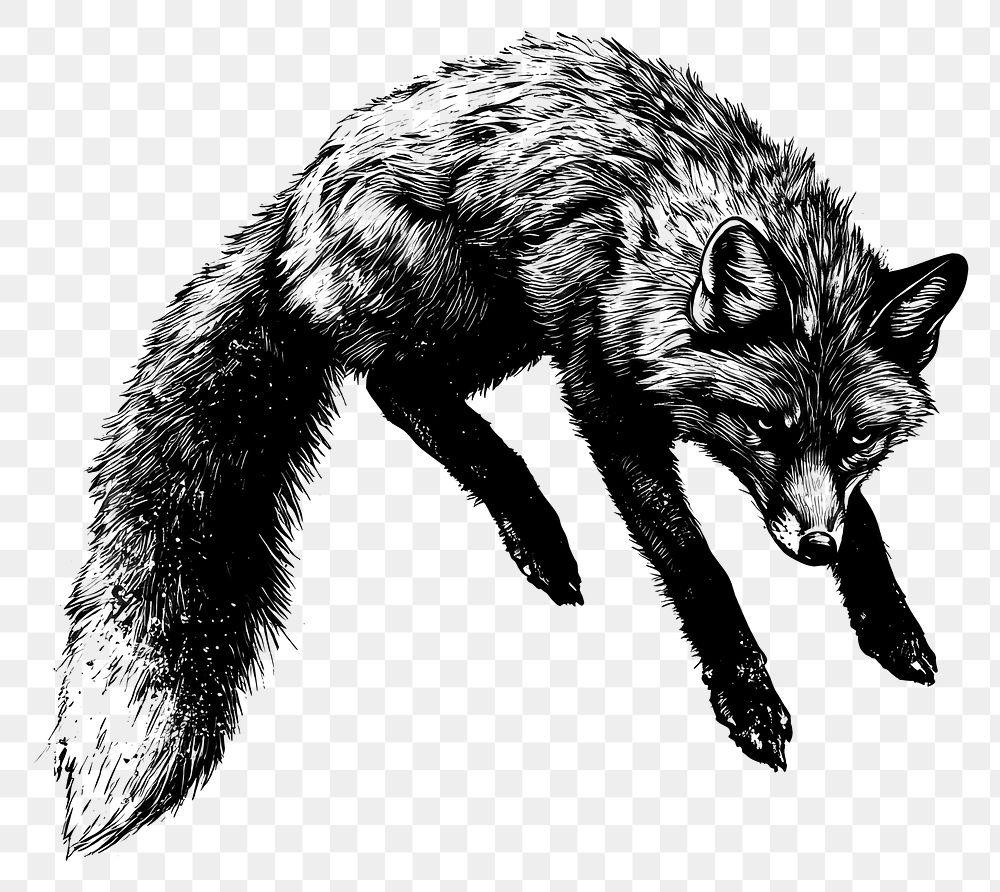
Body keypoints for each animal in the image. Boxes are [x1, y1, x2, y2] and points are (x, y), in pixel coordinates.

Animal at [53, 33, 968, 854]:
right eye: (767, 427)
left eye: (860, 439)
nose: (813, 549)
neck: (672, 248)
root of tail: (300, 197)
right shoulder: (602, 397)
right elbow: (695, 563)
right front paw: (747, 695)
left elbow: (867, 525)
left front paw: (889, 624)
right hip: (481, 310)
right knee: (394, 386)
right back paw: (535, 527)